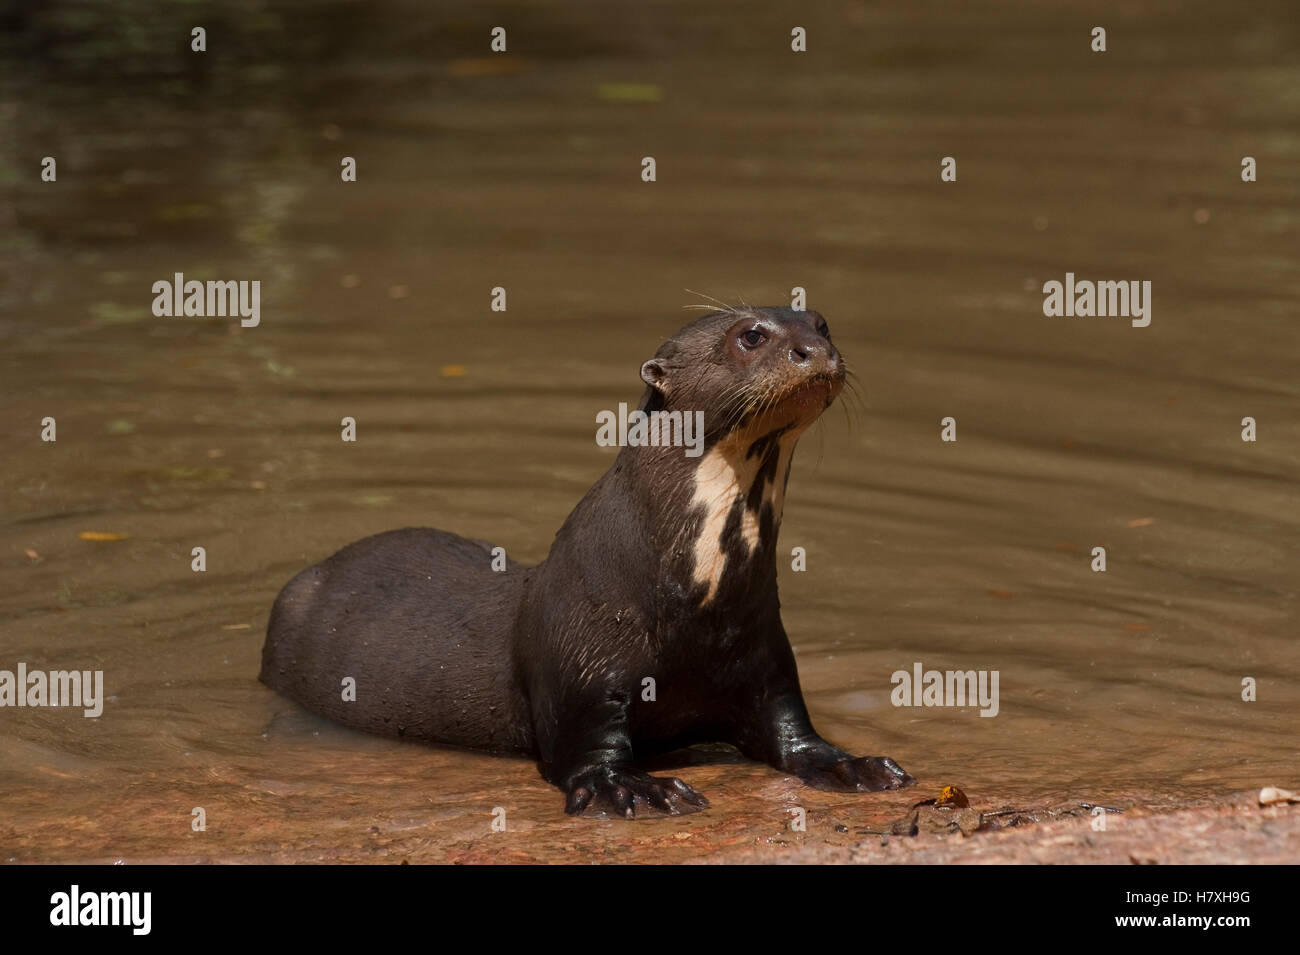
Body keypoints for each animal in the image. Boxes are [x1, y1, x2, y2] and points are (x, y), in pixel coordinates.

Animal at [260, 306, 915, 817]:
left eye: (821, 324)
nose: (815, 351)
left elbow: (789, 728)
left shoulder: (765, 654)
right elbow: (586, 747)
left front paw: (855, 766)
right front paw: (631, 789)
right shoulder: (583, 660)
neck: (691, 596)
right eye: (751, 335)